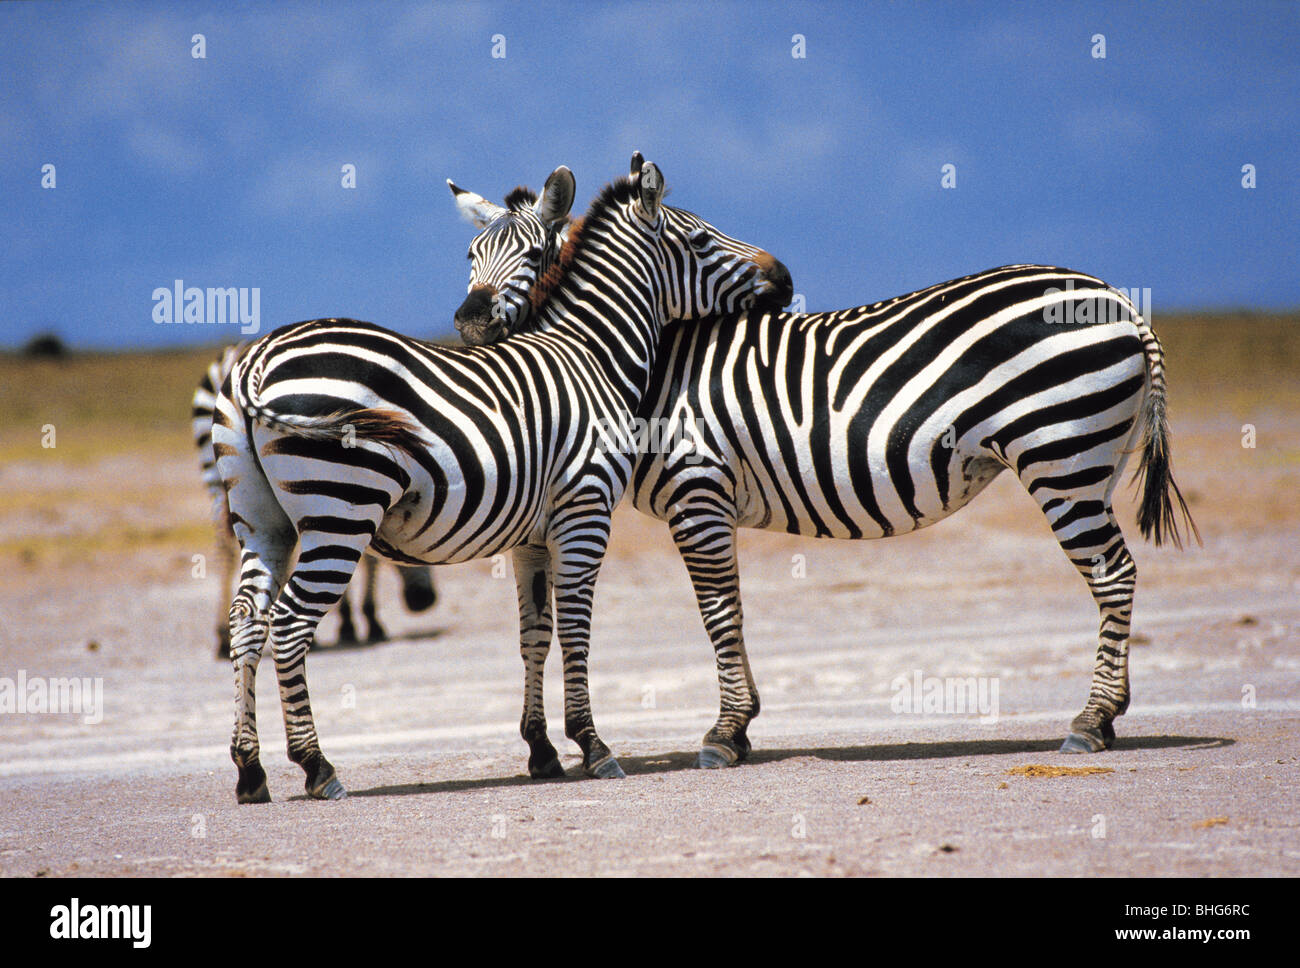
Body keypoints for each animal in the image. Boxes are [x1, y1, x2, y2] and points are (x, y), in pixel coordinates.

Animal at [193, 347, 437, 659]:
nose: (425, 602)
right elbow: (367, 558)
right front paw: (364, 622)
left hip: (220, 476)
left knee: (225, 546)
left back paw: (223, 638)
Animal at [455, 168, 1198, 767]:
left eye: (533, 254)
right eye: (471, 255)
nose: (468, 322)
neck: (638, 365)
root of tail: (1120, 300)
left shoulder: (697, 493)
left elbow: (718, 611)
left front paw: (726, 733)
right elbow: (554, 630)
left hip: (1061, 456)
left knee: (1113, 574)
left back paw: (1091, 722)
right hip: (1092, 462)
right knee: (1116, 573)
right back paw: (1108, 716)